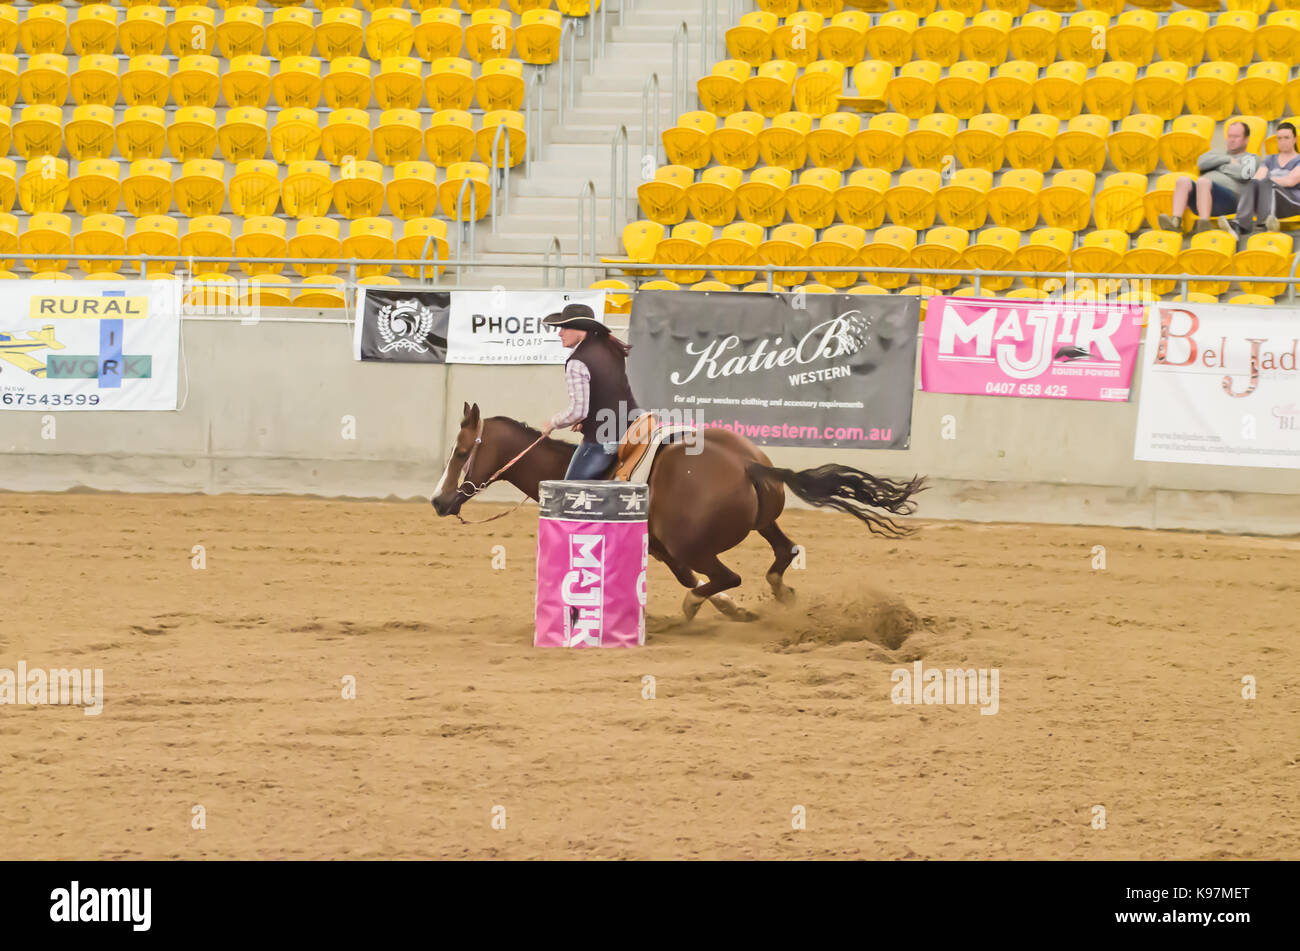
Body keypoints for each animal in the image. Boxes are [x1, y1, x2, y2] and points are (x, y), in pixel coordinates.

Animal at [432, 402, 927, 622]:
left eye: (461, 451)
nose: (438, 501)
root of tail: (747, 464)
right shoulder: (662, 551)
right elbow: (689, 579)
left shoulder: (667, 551)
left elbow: (690, 581)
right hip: (763, 522)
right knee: (784, 553)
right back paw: (780, 596)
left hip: (695, 544)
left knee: (728, 576)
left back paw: (704, 608)